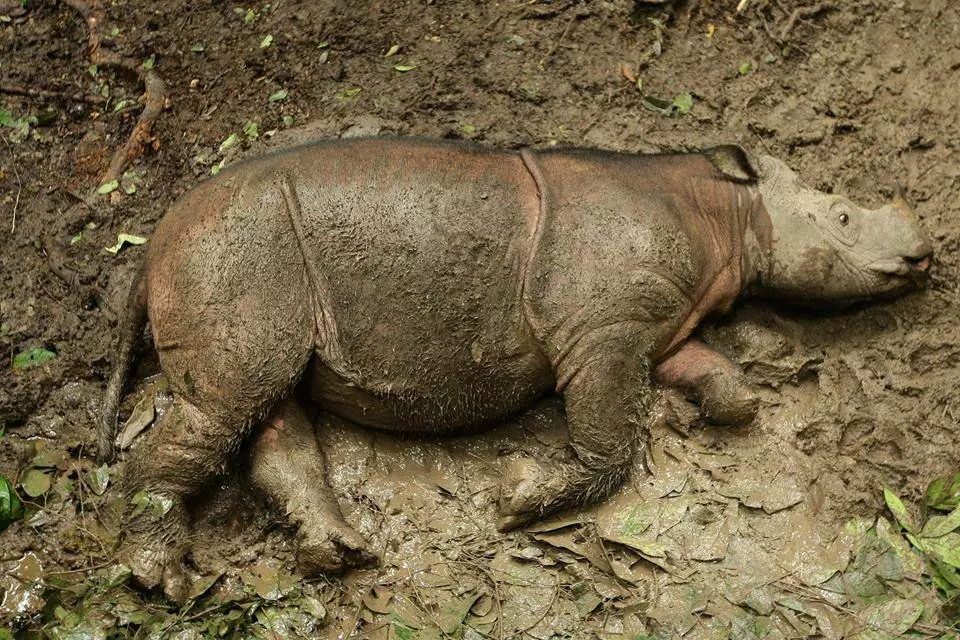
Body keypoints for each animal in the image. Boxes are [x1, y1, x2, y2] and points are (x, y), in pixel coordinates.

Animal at [101, 136, 932, 600]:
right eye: (844, 218)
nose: (923, 252)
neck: (725, 212)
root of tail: (149, 250)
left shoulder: (658, 328)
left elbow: (718, 382)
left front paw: (725, 405)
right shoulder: (601, 331)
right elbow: (613, 442)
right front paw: (519, 497)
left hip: (249, 260)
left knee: (267, 409)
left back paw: (339, 554)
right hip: (234, 252)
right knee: (225, 408)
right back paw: (160, 579)